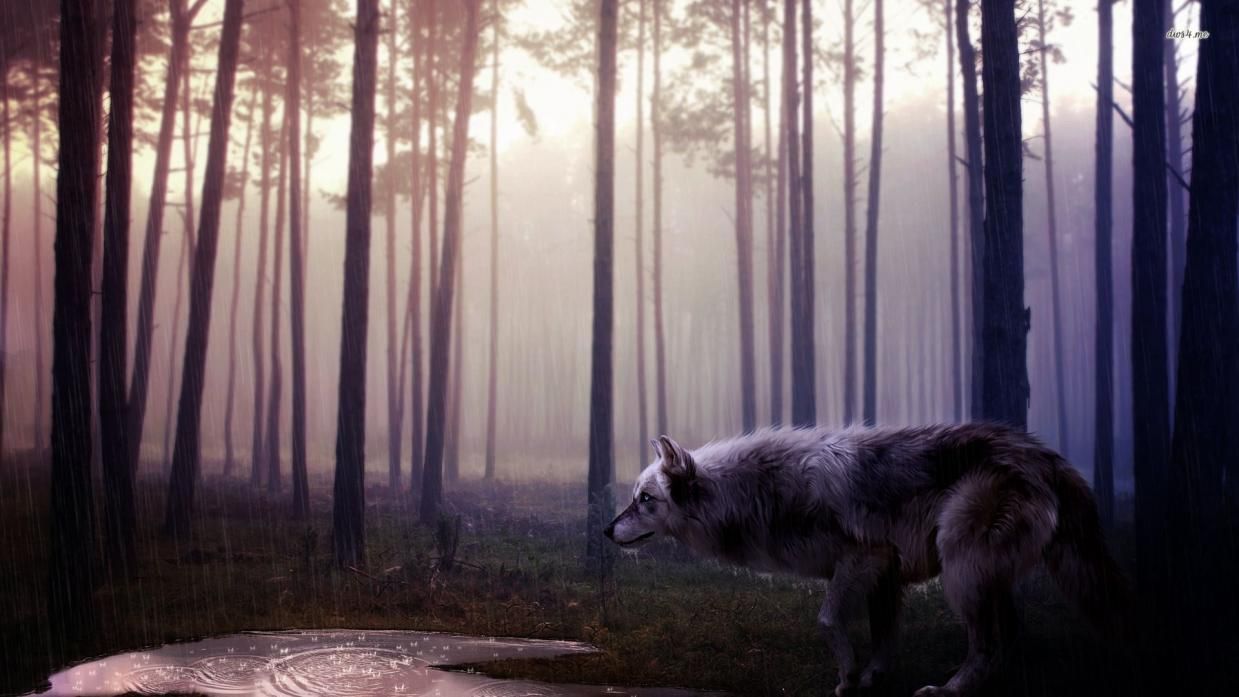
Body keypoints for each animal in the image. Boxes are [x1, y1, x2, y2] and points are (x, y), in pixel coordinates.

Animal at [604, 423, 1129, 697]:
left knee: (986, 644)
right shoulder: (886, 576)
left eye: (644, 500)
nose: (606, 530)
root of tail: (1045, 456)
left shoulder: (865, 558)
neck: (760, 491)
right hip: (984, 577)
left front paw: (848, 676)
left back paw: (949, 691)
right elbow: (883, 636)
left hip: (962, 572)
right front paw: (872, 677)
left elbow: (827, 620)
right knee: (1007, 639)